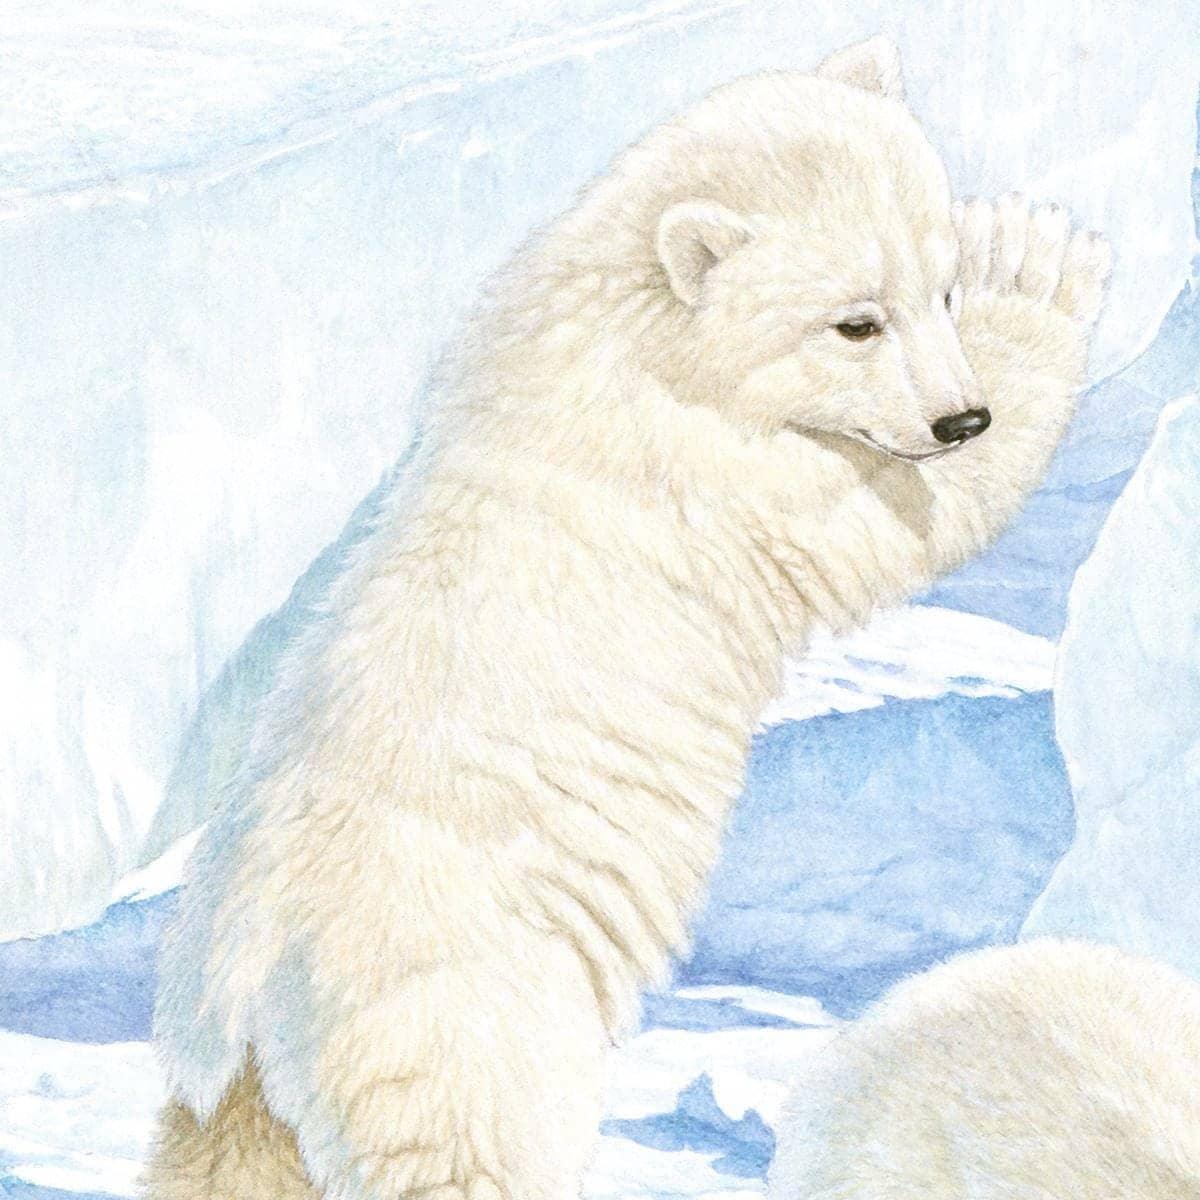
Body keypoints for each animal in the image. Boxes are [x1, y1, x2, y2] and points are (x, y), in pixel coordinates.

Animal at [146, 35, 1111, 1200]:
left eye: (941, 287)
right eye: (855, 319)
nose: (959, 416)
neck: (614, 354)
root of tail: (242, 977)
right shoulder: (720, 484)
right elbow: (901, 522)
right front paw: (1043, 259)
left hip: (233, 1086)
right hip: (460, 1008)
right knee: (480, 1141)